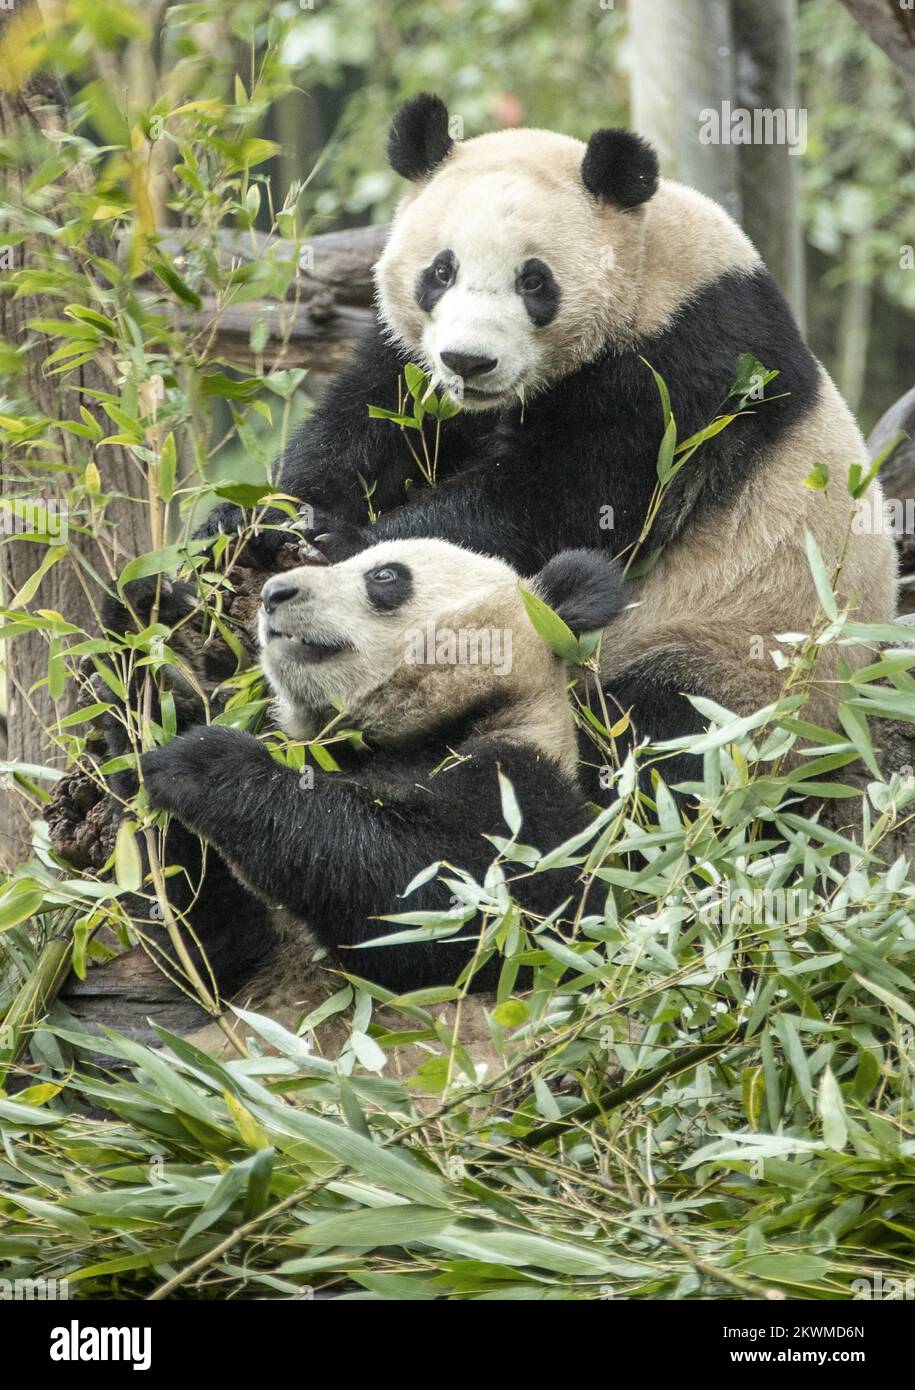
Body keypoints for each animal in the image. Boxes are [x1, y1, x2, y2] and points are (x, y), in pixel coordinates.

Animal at [133, 540, 625, 996]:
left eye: (384, 575)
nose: (274, 593)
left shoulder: (520, 789)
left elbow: (458, 911)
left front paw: (208, 761)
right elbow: (206, 947)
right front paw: (154, 637)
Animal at [199, 93, 896, 792]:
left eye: (534, 282)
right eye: (440, 271)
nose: (469, 361)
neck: (652, 267)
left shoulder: (685, 367)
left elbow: (561, 501)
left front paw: (336, 540)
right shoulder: (411, 362)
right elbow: (360, 429)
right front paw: (244, 529)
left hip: (739, 656)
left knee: (664, 733)